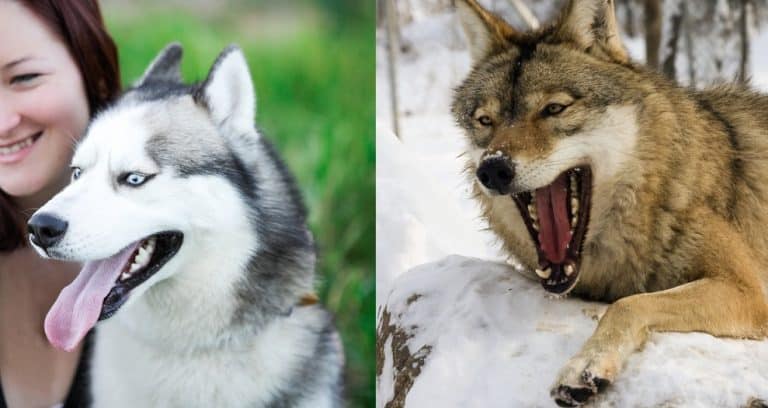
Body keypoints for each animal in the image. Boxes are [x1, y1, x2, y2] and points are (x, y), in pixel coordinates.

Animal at [450, 0, 768, 405]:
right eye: (485, 120)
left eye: (554, 109)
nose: (492, 168)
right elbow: (628, 301)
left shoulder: (748, 291)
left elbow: (628, 304)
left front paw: (586, 365)